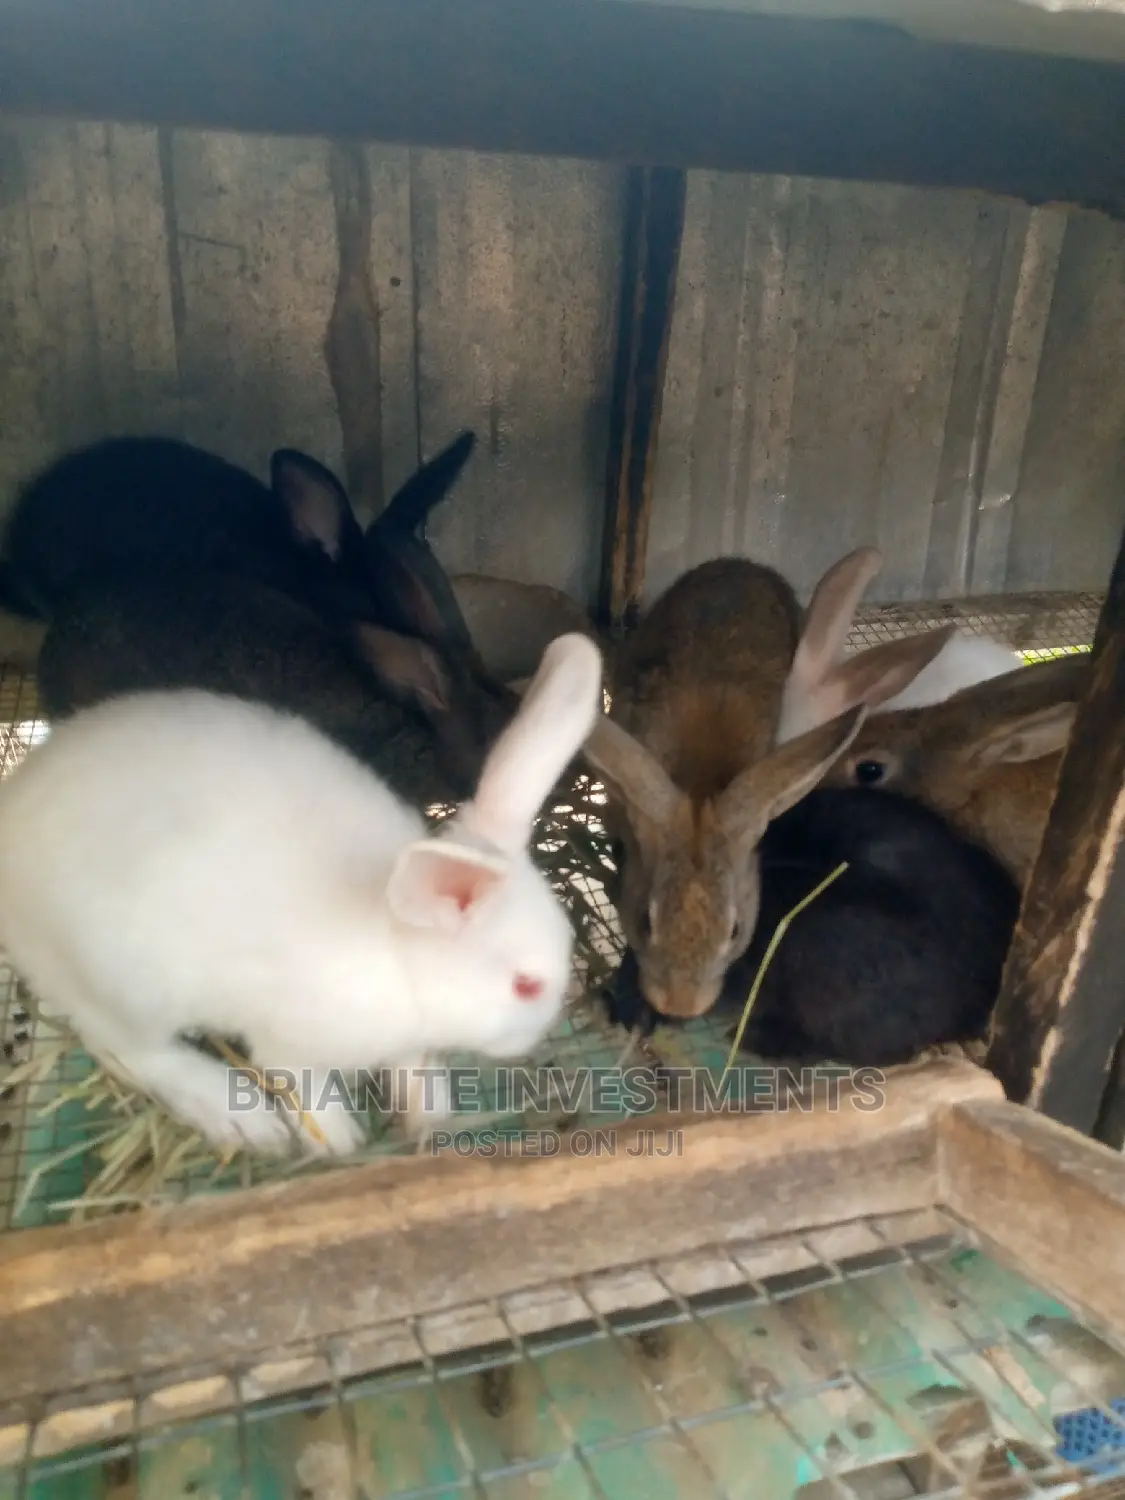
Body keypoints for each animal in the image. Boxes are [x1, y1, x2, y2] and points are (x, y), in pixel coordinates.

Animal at [0, 633, 604, 1157]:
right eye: (525, 986)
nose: (533, 1037)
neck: (394, 950)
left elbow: (413, 1065)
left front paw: (427, 1117)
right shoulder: (287, 1040)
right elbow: (301, 1080)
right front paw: (339, 1138)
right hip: (125, 986)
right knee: (125, 1049)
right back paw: (240, 1118)